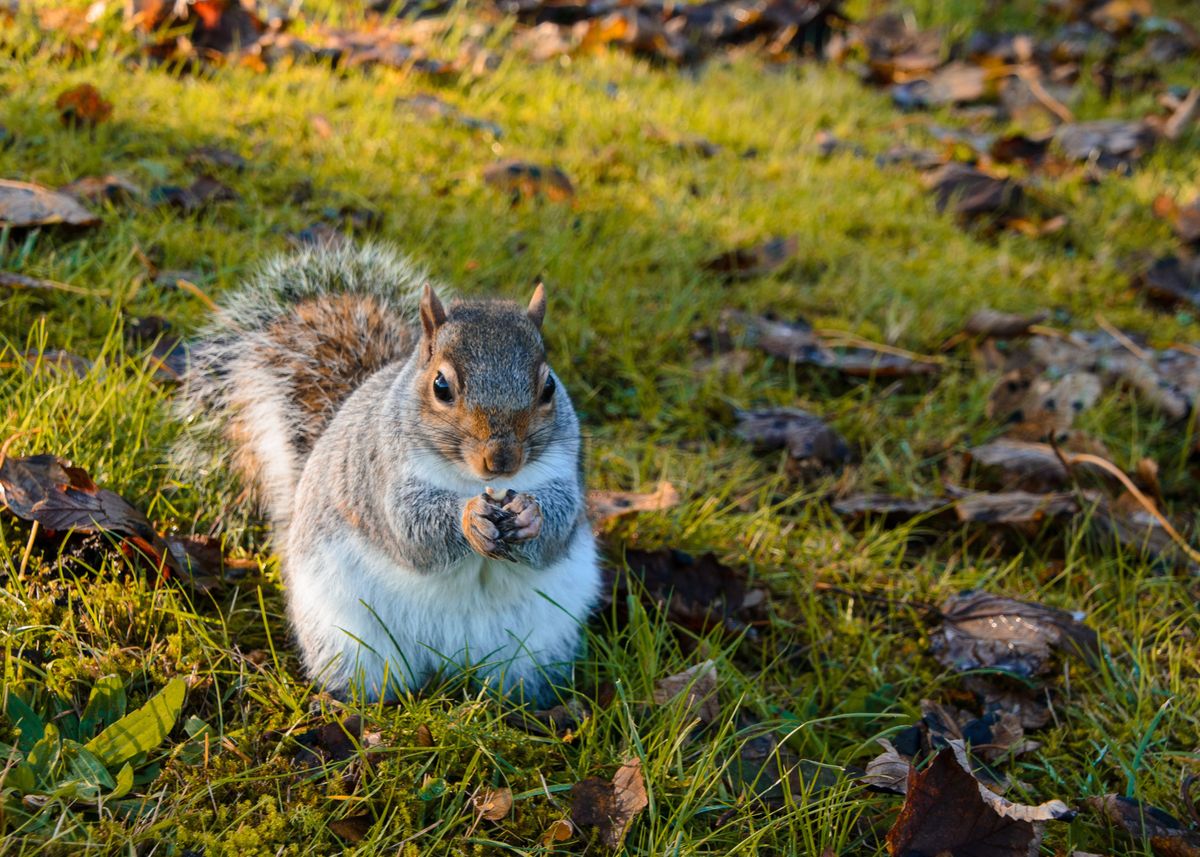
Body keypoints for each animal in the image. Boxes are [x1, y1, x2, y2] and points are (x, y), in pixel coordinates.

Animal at [175, 243, 600, 703]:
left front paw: (529, 515)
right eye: (441, 386)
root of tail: (449, 664)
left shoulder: (565, 470)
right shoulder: (381, 472)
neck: (475, 481)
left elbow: (559, 524)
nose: (502, 459)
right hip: (350, 642)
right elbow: (410, 528)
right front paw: (469, 518)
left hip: (530, 651)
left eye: (549, 387)